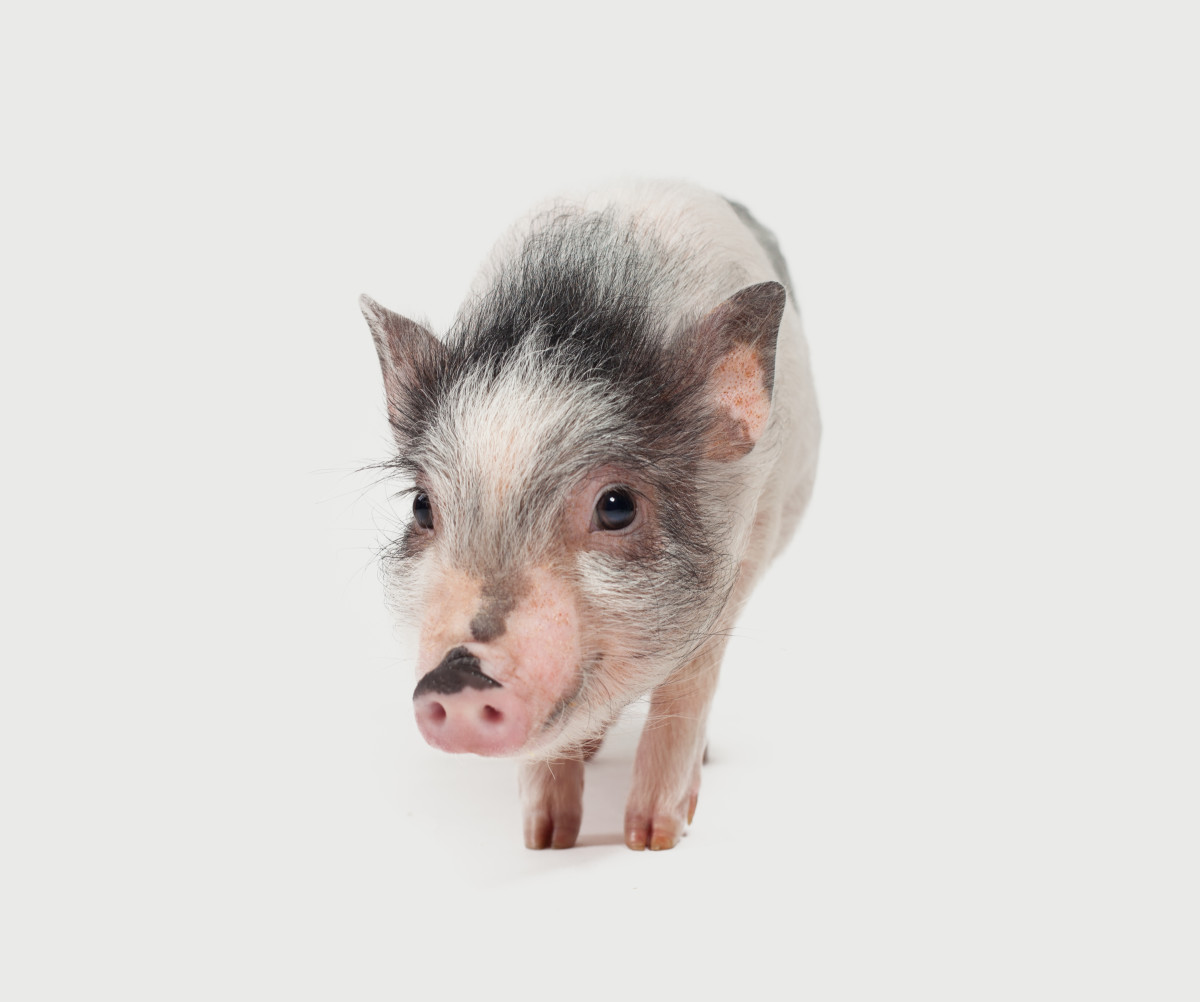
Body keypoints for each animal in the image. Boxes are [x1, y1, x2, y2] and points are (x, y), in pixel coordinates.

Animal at [361, 180, 820, 850]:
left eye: (617, 505)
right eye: (423, 506)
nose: (457, 677)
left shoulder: (744, 555)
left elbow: (687, 688)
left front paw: (651, 841)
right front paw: (545, 842)